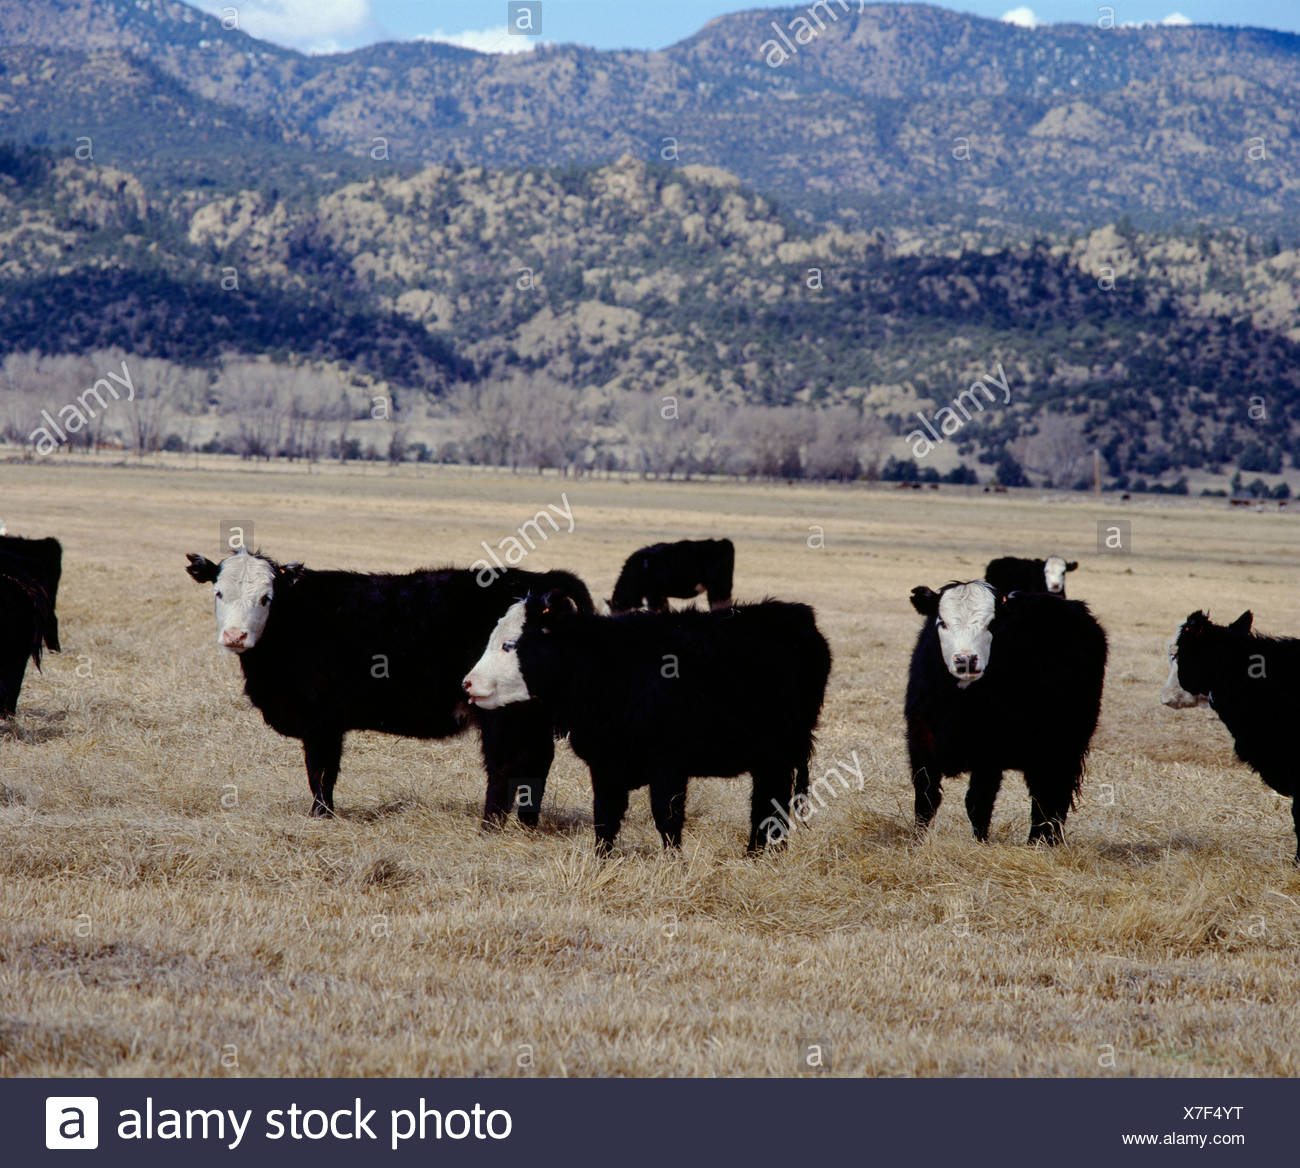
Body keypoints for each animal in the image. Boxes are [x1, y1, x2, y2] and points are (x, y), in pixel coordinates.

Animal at [185, 548, 593, 821]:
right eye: (219, 593)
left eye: (265, 597)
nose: (235, 635)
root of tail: (538, 581)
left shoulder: (321, 723)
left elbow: (321, 772)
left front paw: (321, 815)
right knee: (535, 764)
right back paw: (526, 823)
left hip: (504, 714)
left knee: (507, 766)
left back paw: (490, 824)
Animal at [462, 596, 832, 855]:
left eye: (509, 645)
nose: (468, 683)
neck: (605, 668)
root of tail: (796, 616)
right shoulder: (605, 765)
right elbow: (605, 818)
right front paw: (603, 863)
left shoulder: (668, 765)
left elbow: (667, 819)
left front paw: (674, 865)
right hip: (769, 760)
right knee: (768, 807)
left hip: (778, 758)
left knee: (769, 806)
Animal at [905, 581, 1107, 845]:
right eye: (942, 622)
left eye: (991, 624)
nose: (965, 659)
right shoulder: (921, 742)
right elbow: (925, 798)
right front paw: (917, 841)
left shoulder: (989, 754)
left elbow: (978, 802)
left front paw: (980, 843)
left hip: (1064, 747)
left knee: (1051, 794)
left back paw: (1043, 842)